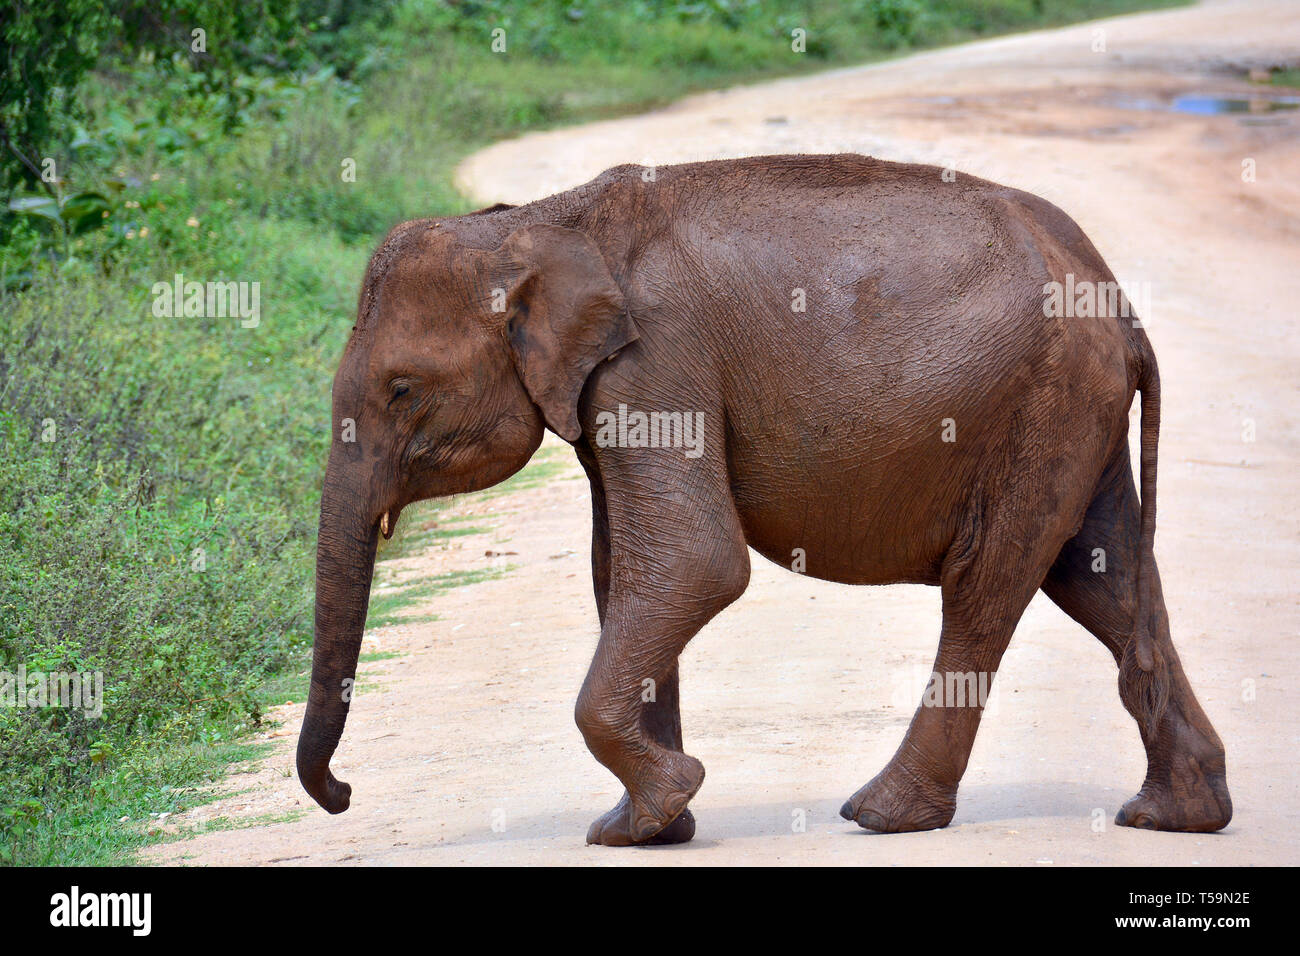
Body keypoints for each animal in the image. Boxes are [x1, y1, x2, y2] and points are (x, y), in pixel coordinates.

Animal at [297, 154, 1232, 845]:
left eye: (402, 390)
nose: (343, 794)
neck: (539, 221)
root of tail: (1120, 304)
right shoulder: (618, 387)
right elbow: (623, 570)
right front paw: (646, 829)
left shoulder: (657, 361)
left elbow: (692, 562)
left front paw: (662, 804)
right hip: (1073, 410)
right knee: (1103, 579)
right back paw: (1178, 817)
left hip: (1042, 402)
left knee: (987, 587)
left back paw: (881, 816)